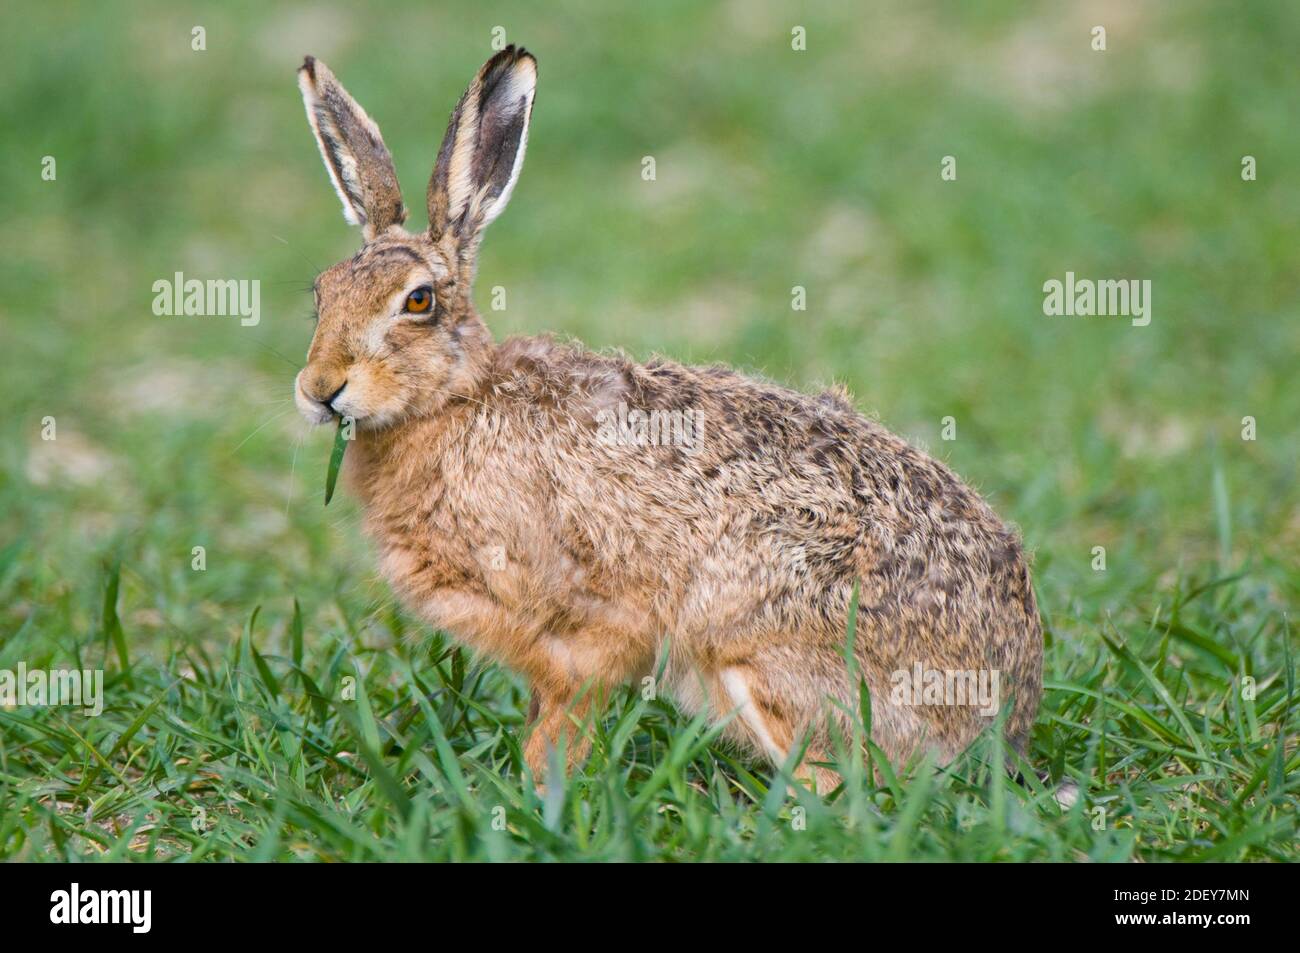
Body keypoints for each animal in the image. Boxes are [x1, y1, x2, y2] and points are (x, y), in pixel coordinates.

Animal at [293, 46, 1043, 792]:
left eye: (418, 301)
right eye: (321, 294)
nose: (320, 388)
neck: (456, 400)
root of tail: (1002, 721)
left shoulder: (591, 630)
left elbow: (563, 722)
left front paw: (537, 789)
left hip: (755, 652)